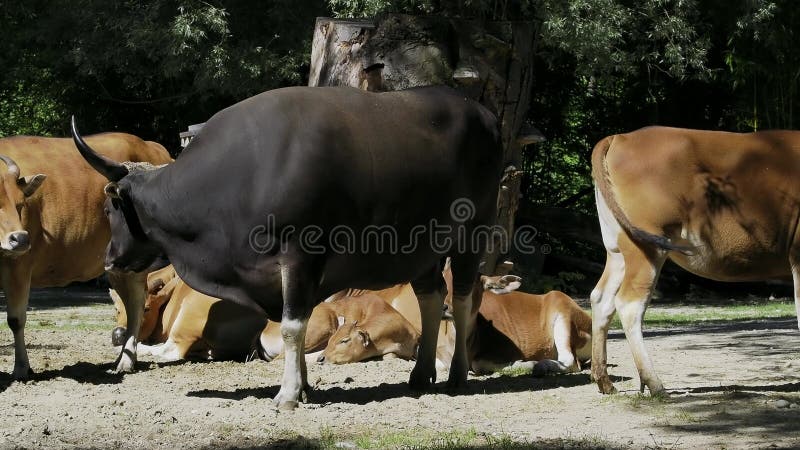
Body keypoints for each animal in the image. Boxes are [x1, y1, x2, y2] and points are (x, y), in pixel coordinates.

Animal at [0, 134, 171, 380]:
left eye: (20, 204)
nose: (20, 239)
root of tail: (155, 147)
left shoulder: (18, 264)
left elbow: (15, 319)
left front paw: (22, 368)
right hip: (119, 265)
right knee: (131, 303)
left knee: (137, 304)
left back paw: (126, 361)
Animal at [72, 85, 504, 409]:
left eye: (111, 207)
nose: (110, 259)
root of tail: (483, 113)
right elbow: (298, 322)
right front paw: (306, 387)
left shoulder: (301, 255)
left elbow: (294, 326)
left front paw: (289, 394)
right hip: (425, 251)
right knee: (432, 296)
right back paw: (421, 373)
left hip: (473, 232)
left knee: (462, 298)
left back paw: (456, 374)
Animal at [590, 126, 800, 395]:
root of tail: (620, 137)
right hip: (646, 247)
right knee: (629, 304)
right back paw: (655, 383)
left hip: (617, 250)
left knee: (602, 298)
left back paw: (604, 381)